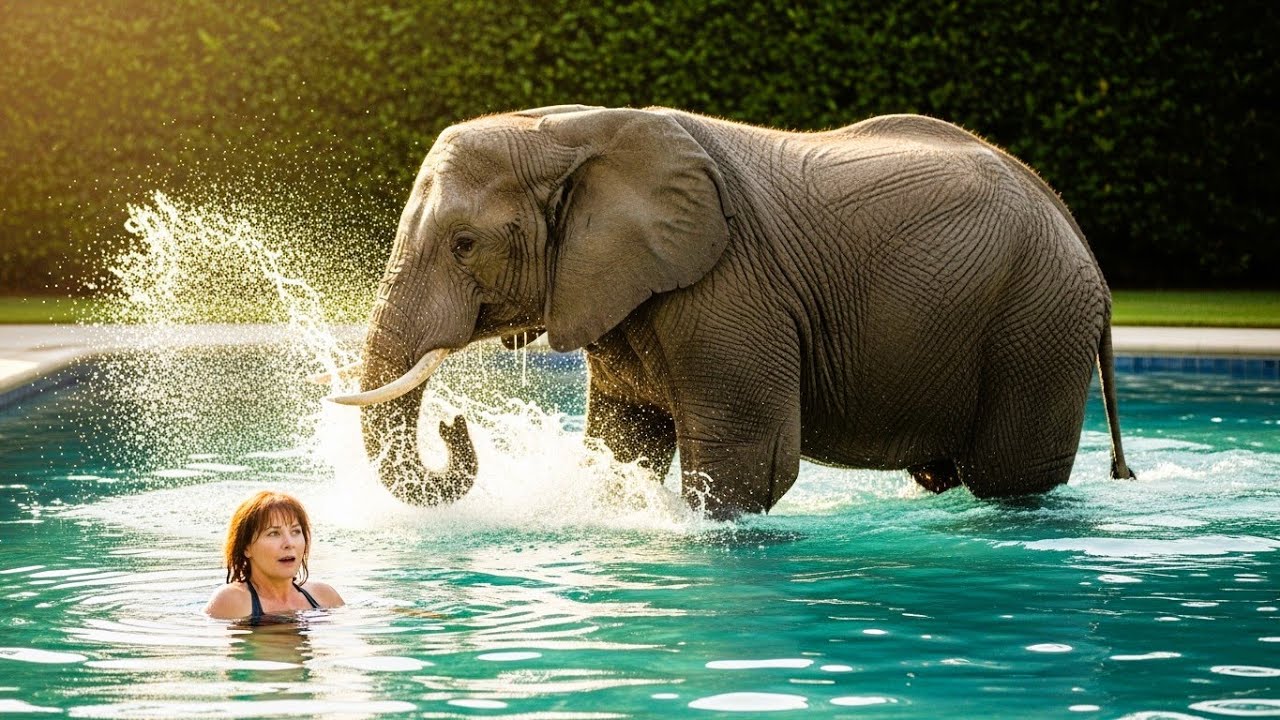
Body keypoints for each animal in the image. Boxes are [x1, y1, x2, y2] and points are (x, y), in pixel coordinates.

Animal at [332, 105, 1135, 519]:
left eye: (464, 244)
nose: (455, 423)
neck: (571, 130)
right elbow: (623, 441)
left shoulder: (731, 290)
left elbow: (749, 462)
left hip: (1038, 325)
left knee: (1010, 476)